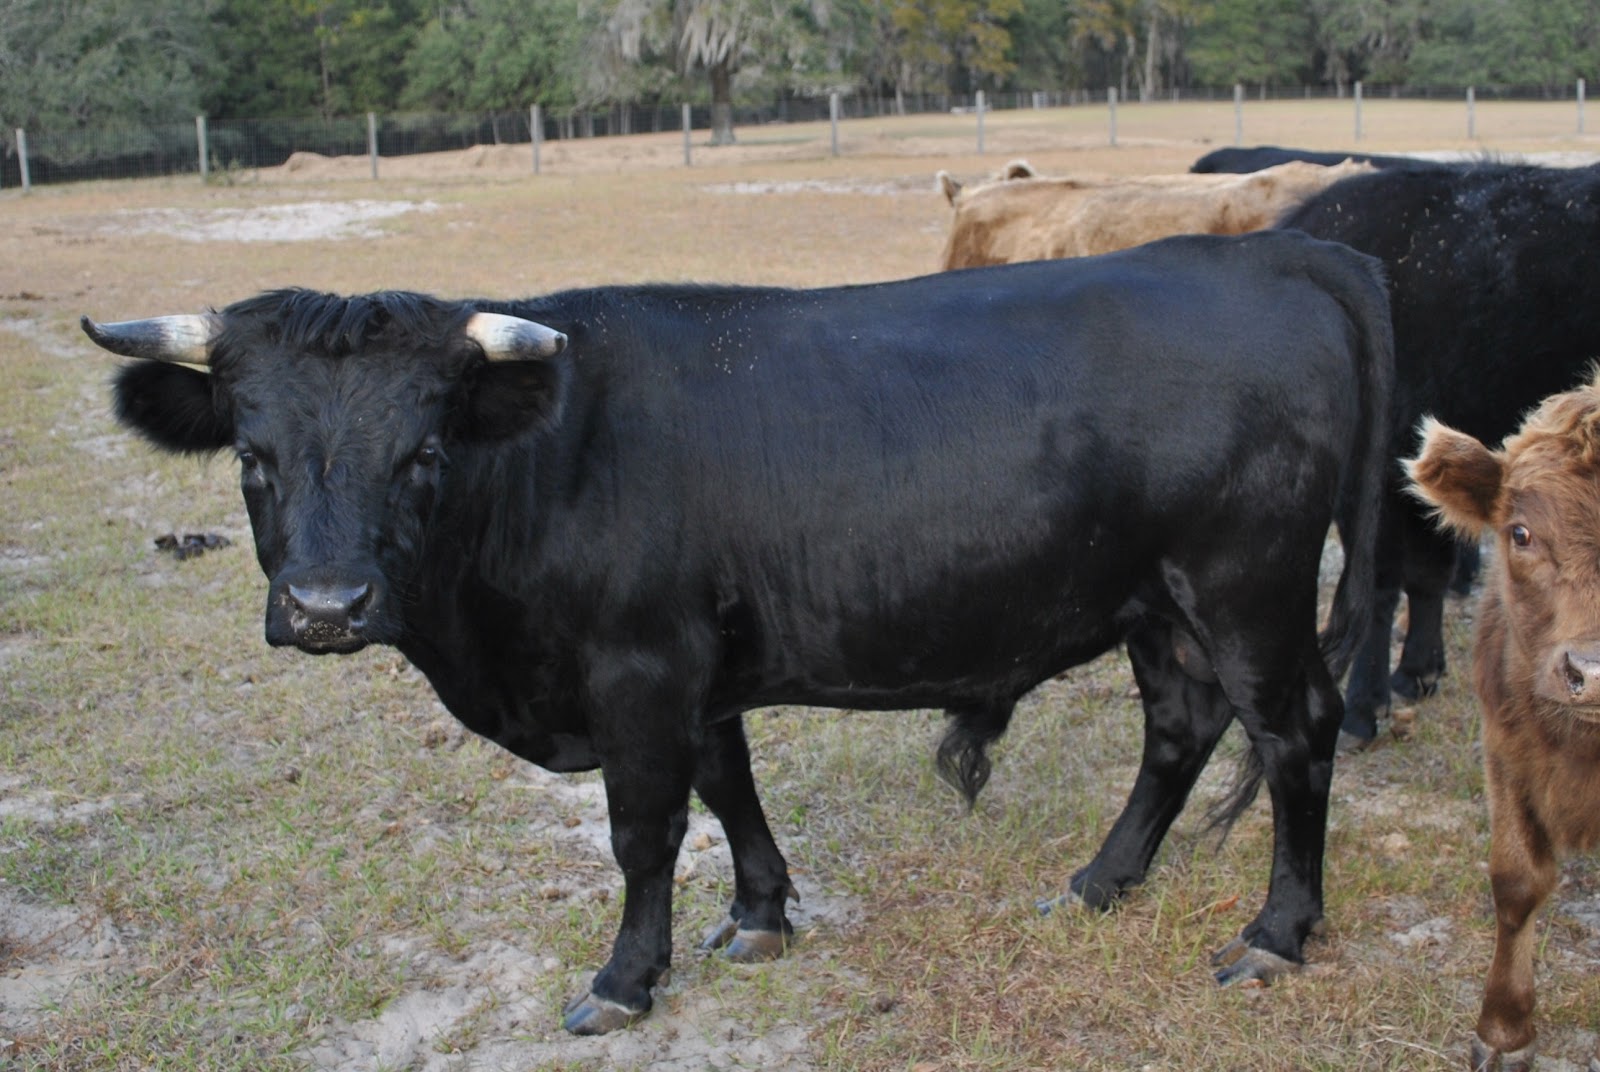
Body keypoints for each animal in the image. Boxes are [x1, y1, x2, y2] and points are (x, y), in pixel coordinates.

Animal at [83, 230, 1394, 1036]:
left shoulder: (639, 668)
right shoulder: (695, 672)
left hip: (1244, 584)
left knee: (1294, 735)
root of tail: (1273, 249)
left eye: (423, 451)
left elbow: (644, 831)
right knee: (1179, 726)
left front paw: (623, 978)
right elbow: (728, 788)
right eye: (252, 454)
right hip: (1156, 601)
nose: (326, 607)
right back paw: (1097, 882)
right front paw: (760, 915)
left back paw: (1275, 932)